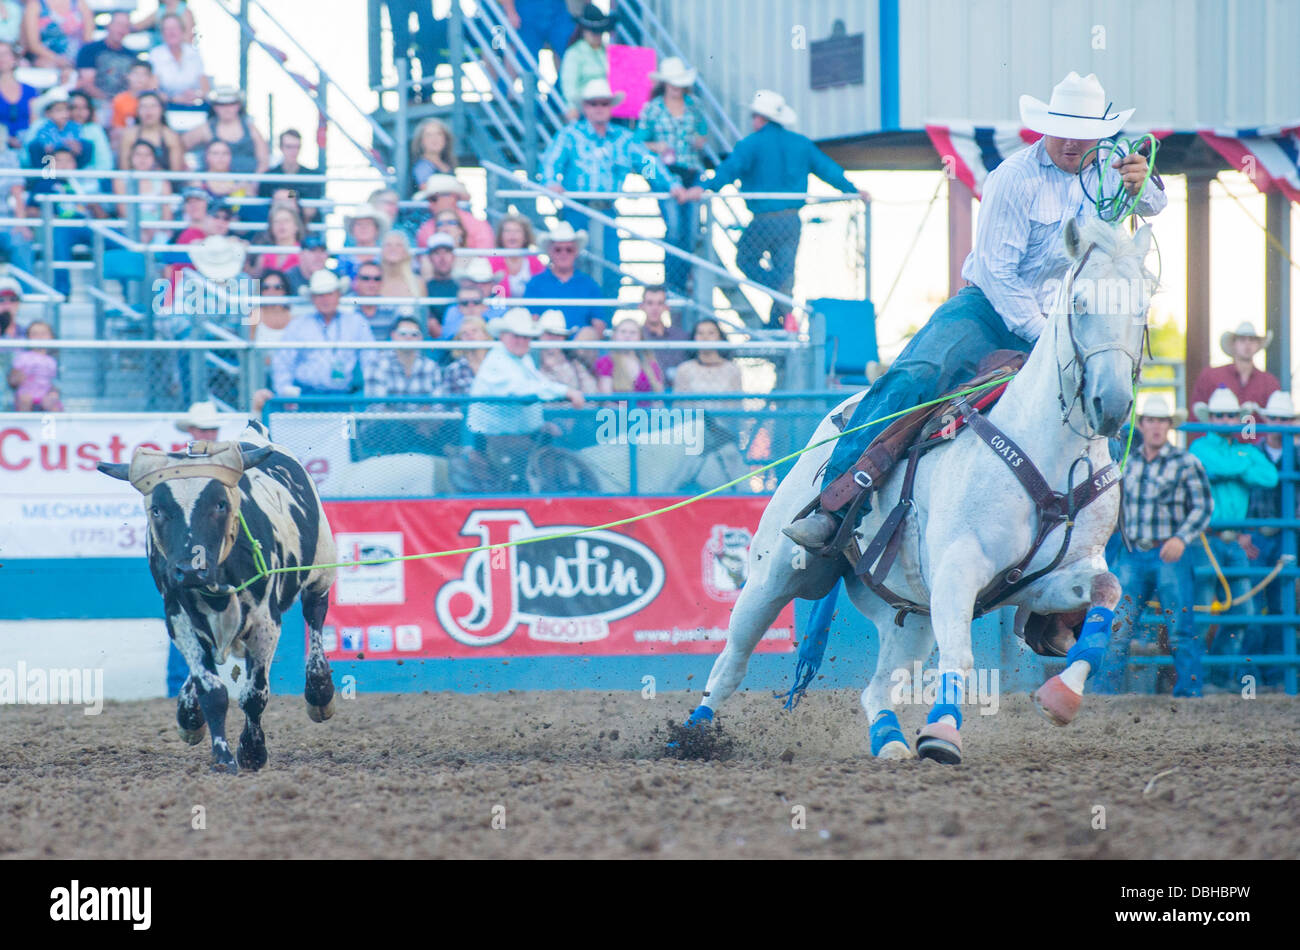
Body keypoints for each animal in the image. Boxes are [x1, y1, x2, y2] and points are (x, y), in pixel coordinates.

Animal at [98, 419, 337, 773]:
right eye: (157, 510)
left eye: (220, 504)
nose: (189, 569)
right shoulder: (179, 618)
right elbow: (212, 691)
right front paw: (222, 755)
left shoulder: (266, 623)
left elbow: (254, 694)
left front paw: (252, 751)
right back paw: (189, 713)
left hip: (321, 571)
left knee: (316, 617)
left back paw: (320, 691)